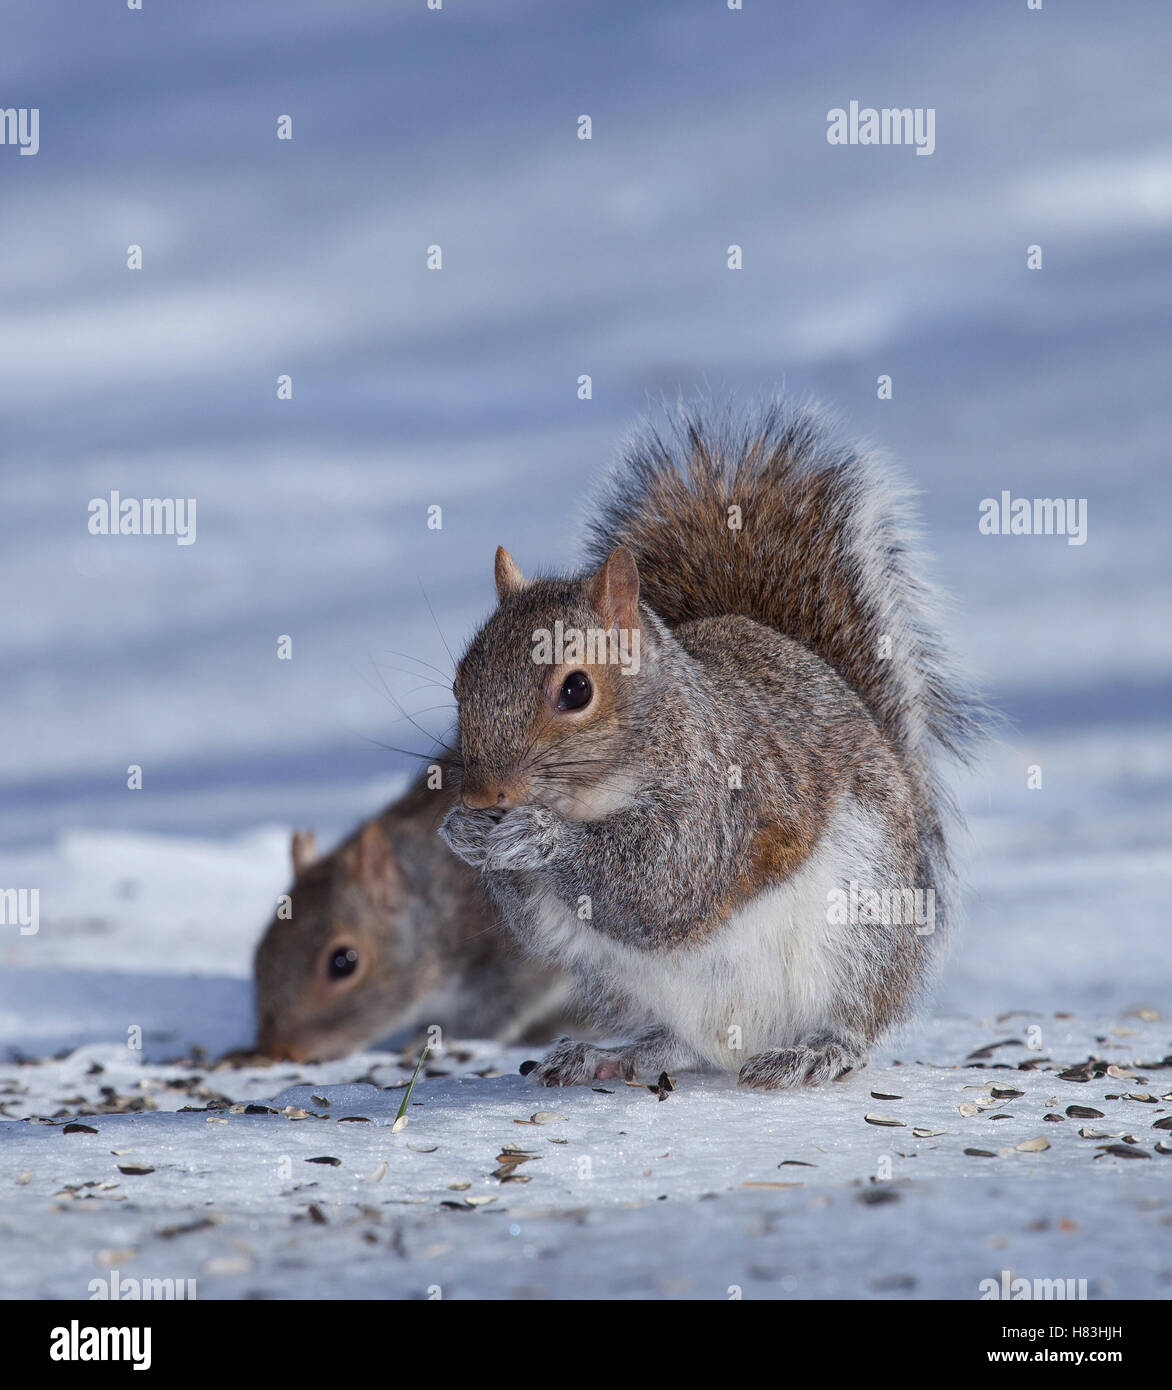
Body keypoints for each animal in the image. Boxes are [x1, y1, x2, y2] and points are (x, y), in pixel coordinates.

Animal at [439, 402, 981, 1089]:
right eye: (461, 679)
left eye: (576, 689)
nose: (484, 795)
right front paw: (465, 834)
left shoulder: (724, 797)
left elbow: (668, 881)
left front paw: (536, 837)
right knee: (680, 1044)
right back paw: (608, 1053)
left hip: (861, 925)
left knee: (854, 1024)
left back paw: (817, 1052)